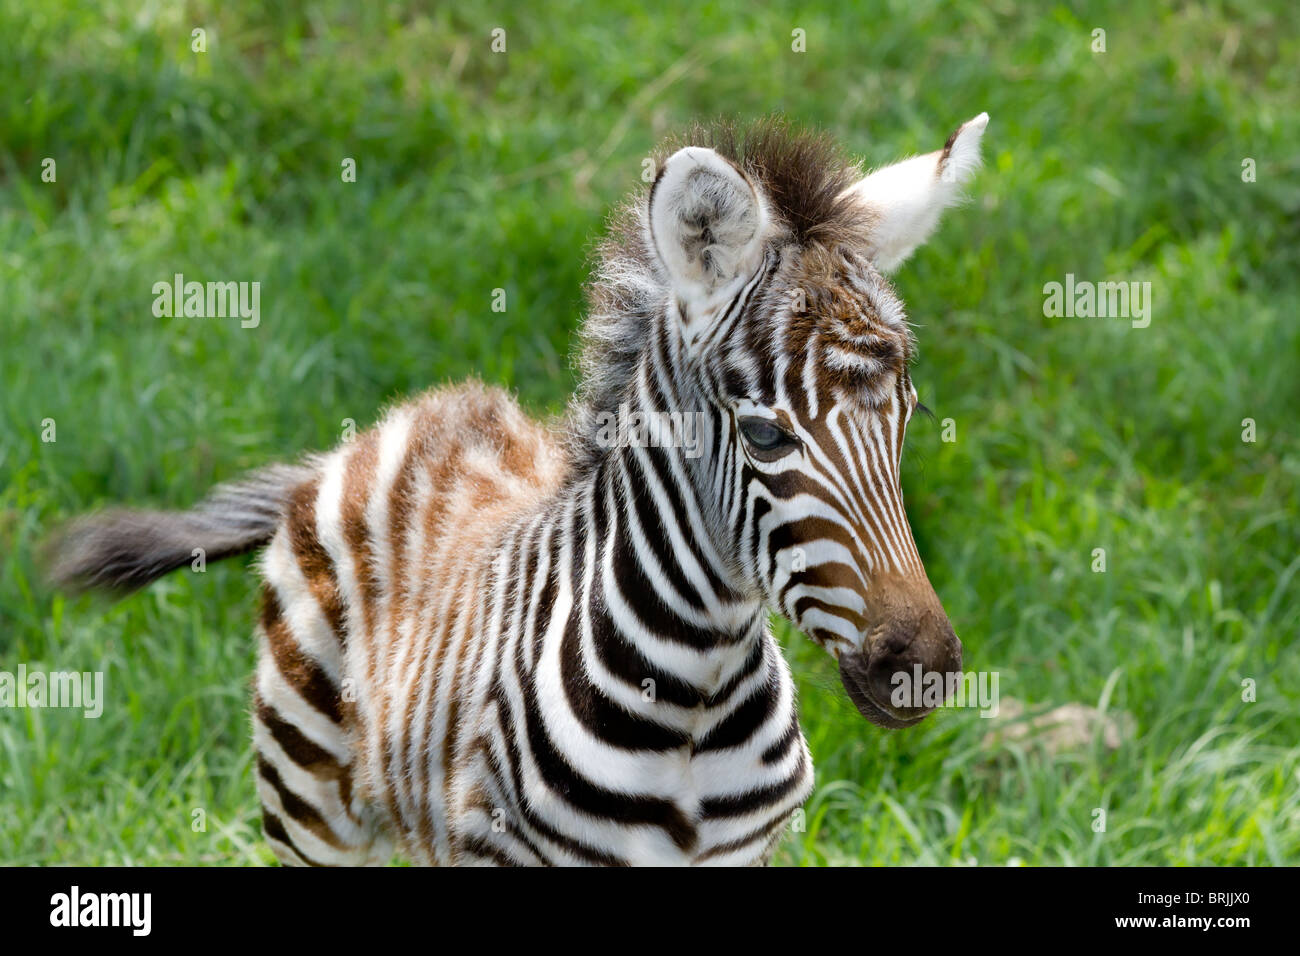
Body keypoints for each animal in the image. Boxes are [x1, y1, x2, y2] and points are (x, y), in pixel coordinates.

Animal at [48, 113, 988, 866]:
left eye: (908, 415)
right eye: (765, 436)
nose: (924, 670)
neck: (694, 697)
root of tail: (379, 430)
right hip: (310, 809)